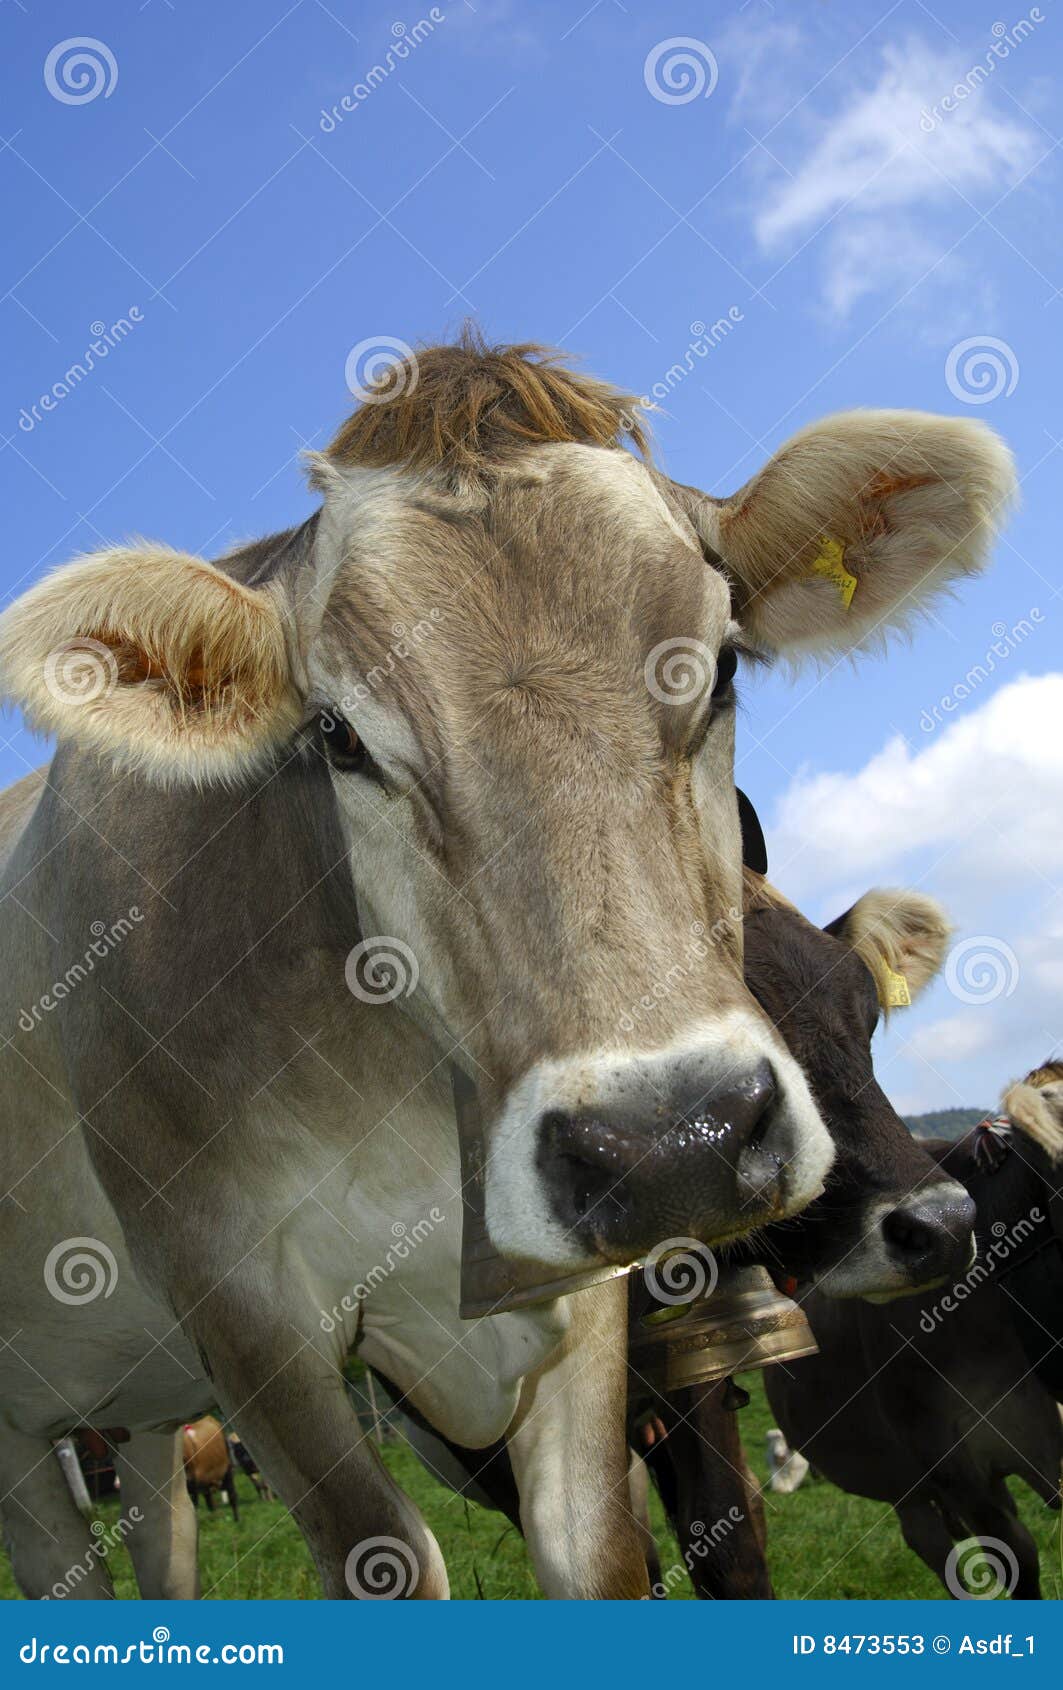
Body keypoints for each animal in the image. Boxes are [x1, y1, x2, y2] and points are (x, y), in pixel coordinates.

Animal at [0, 333, 1013, 1599]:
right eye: (336, 733)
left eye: (723, 666)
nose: (676, 1140)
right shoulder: (237, 1306)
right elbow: (382, 1553)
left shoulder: (588, 1304)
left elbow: (600, 1550)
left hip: (140, 1423)